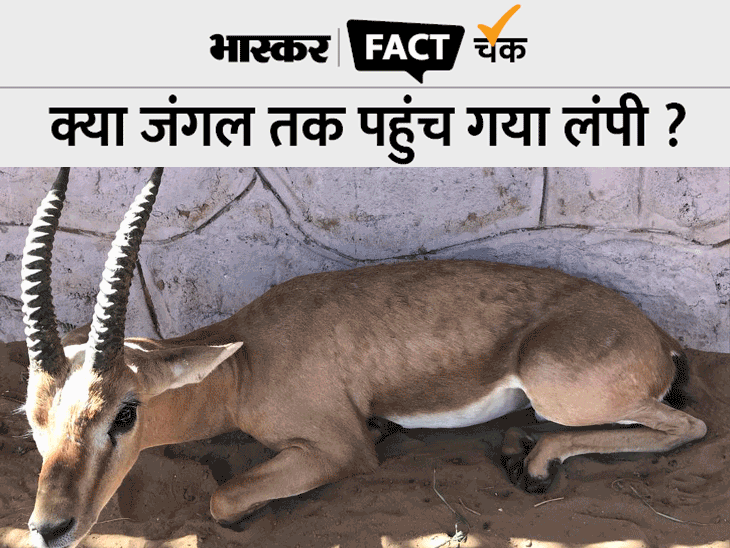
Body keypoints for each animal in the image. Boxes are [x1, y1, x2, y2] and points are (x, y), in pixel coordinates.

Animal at [21, 168, 707, 548]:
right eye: (34, 414)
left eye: (125, 411)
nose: (50, 528)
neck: (246, 362)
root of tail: (654, 335)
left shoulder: (337, 450)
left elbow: (222, 499)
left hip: (557, 391)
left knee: (686, 427)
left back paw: (534, 462)